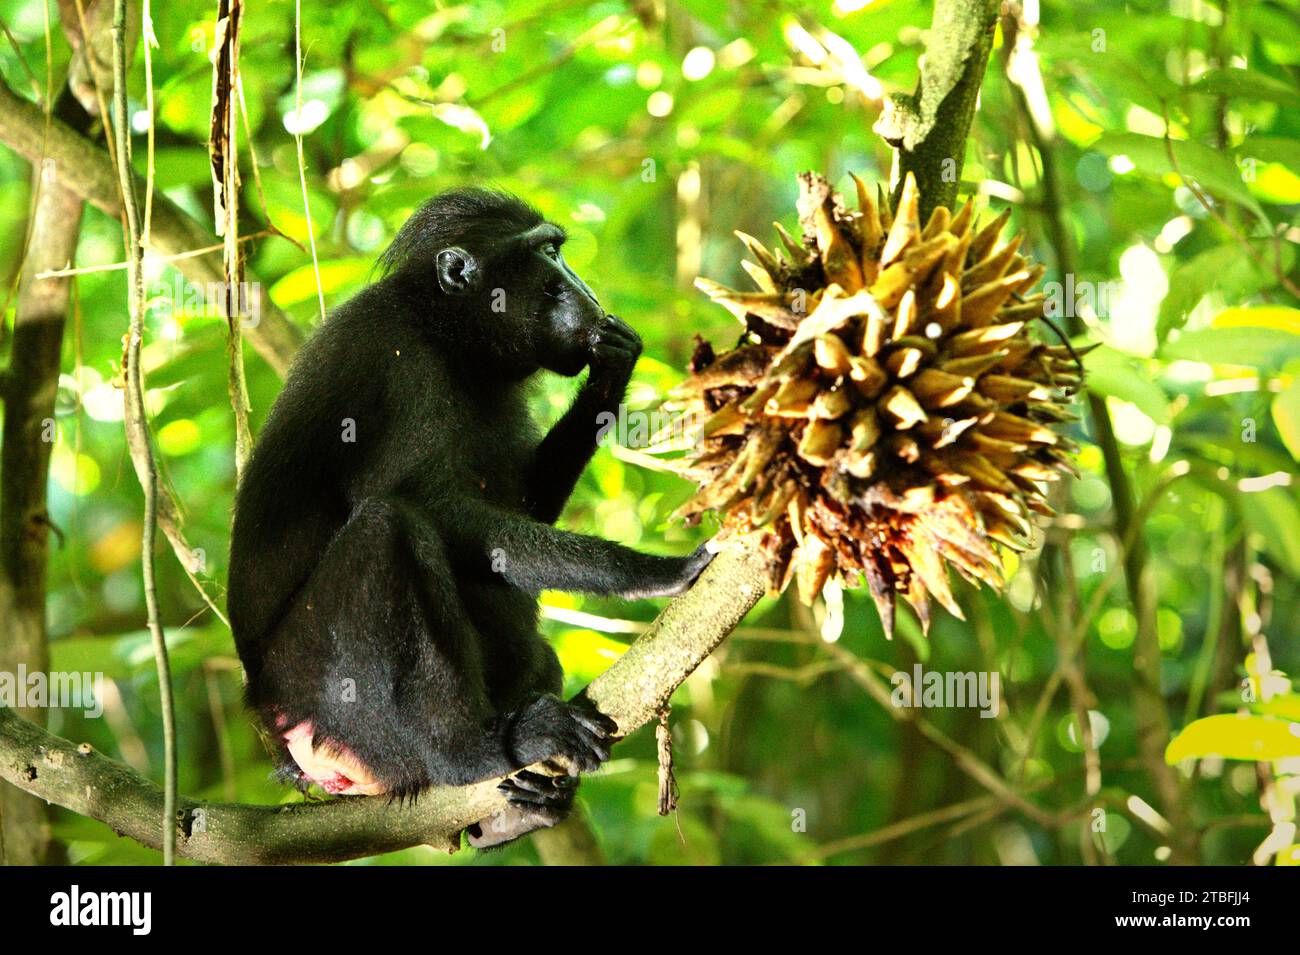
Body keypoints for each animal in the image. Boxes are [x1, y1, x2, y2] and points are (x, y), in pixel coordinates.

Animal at [227, 188, 713, 847]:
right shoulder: (397, 365)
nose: (583, 290)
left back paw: (523, 802)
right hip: (320, 695)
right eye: (548, 254)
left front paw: (611, 372)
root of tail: (276, 733)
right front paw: (649, 572)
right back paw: (471, 751)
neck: (448, 334)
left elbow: (519, 511)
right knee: (388, 530)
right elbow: (441, 512)